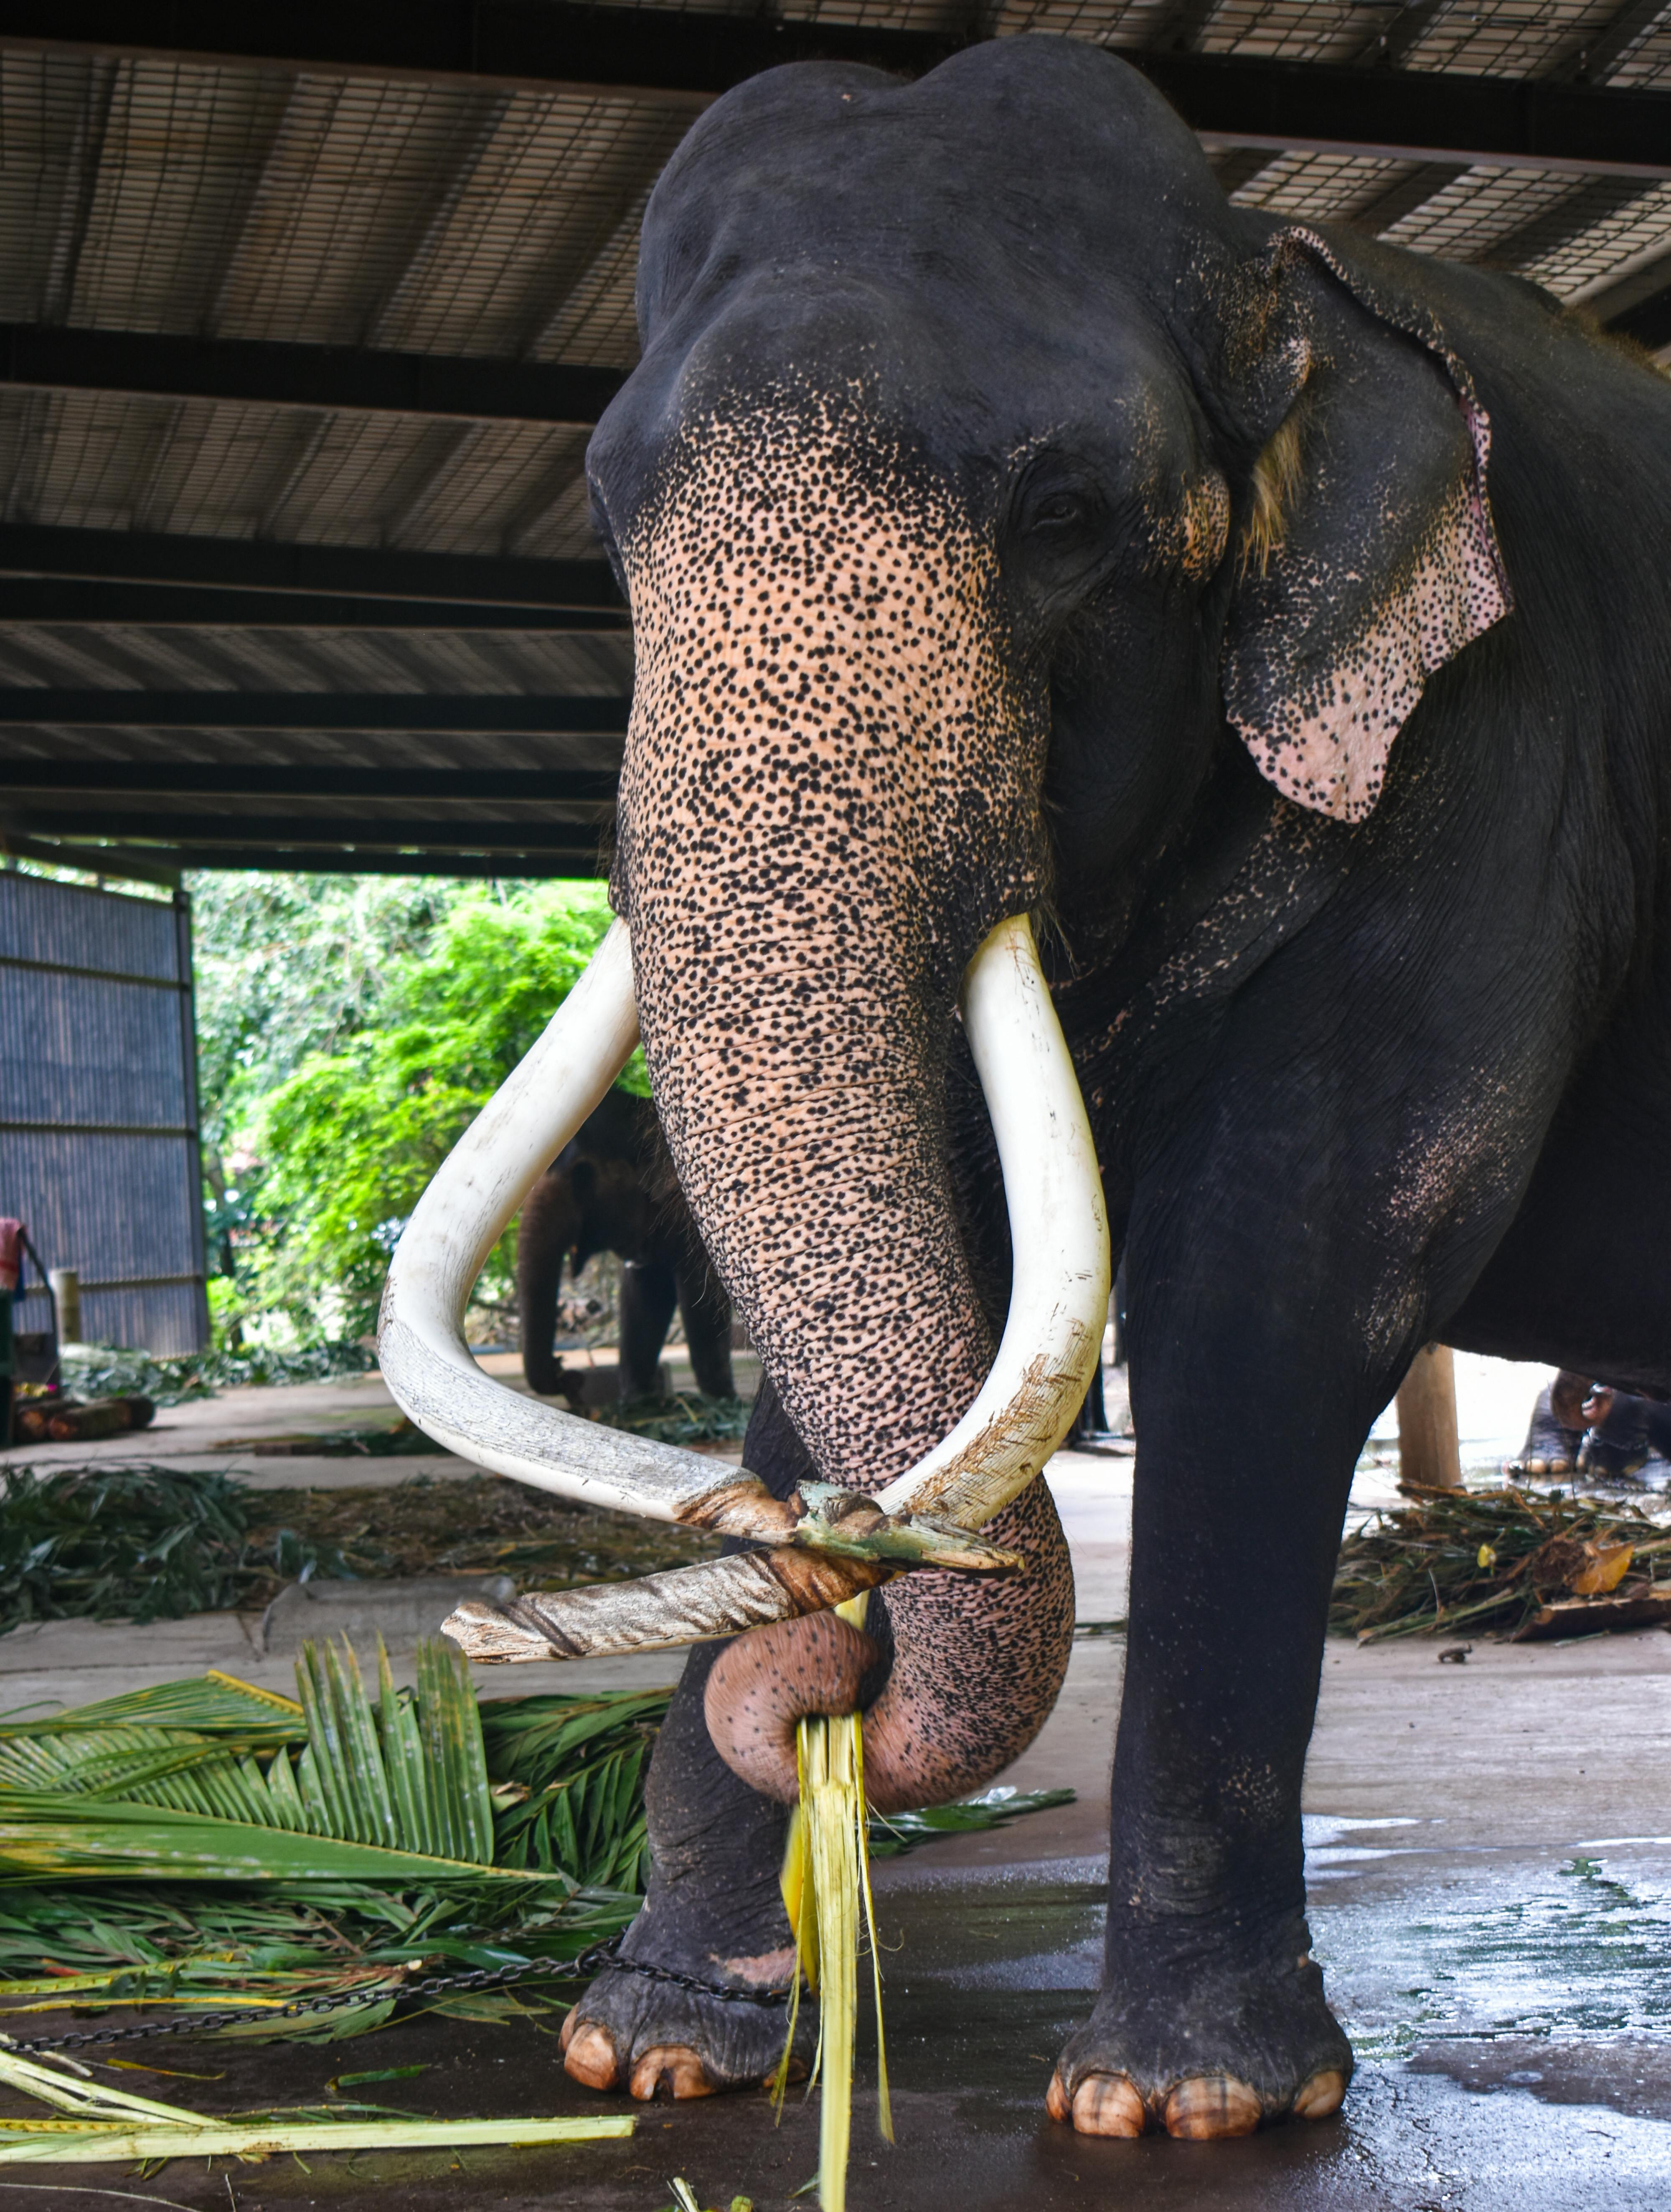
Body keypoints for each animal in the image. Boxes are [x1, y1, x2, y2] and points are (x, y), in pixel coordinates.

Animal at [516, 1089, 734, 1404]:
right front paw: (639, 1401)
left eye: (582, 1175)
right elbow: (644, 1295)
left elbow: (700, 1297)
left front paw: (719, 1400)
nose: (565, 1370)